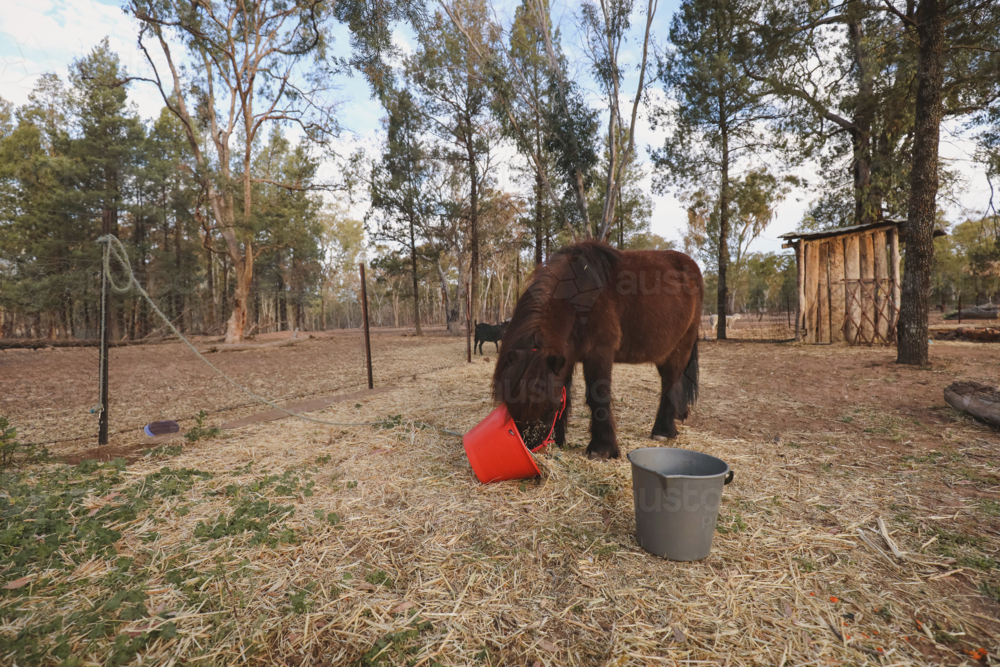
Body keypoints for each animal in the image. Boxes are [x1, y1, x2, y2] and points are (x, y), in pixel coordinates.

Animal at [492, 241, 703, 461]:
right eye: (510, 404)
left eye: (550, 406)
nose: (530, 446)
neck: (577, 297)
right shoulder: (565, 358)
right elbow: (568, 391)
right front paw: (559, 440)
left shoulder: (599, 353)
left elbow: (598, 395)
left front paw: (602, 448)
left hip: (681, 347)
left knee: (670, 382)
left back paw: (663, 430)